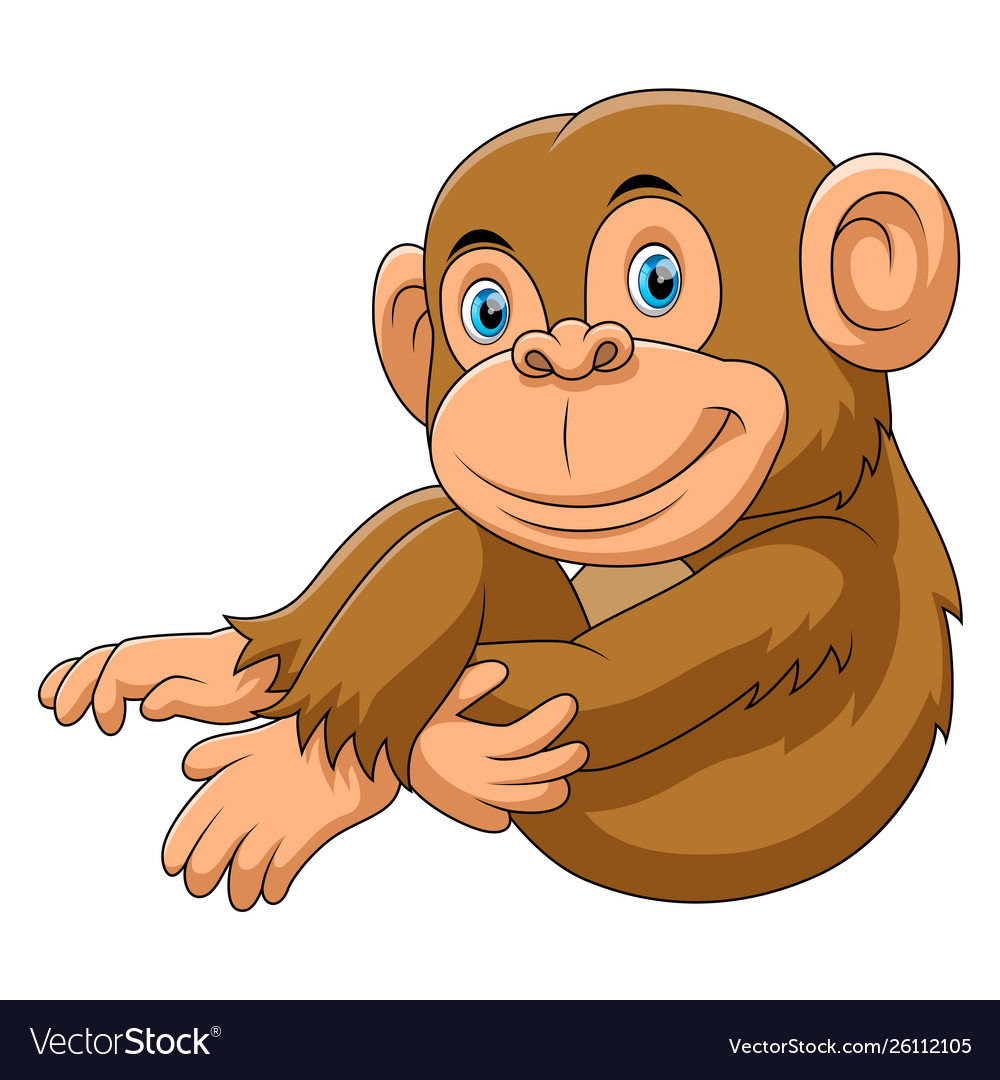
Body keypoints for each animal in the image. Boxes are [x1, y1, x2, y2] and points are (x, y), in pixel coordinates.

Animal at [39, 90, 960, 908]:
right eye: (488, 312)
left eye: (659, 280)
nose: (562, 356)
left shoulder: (806, 575)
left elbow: (583, 689)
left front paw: (376, 766)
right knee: (439, 523)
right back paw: (217, 671)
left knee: (458, 547)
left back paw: (309, 773)